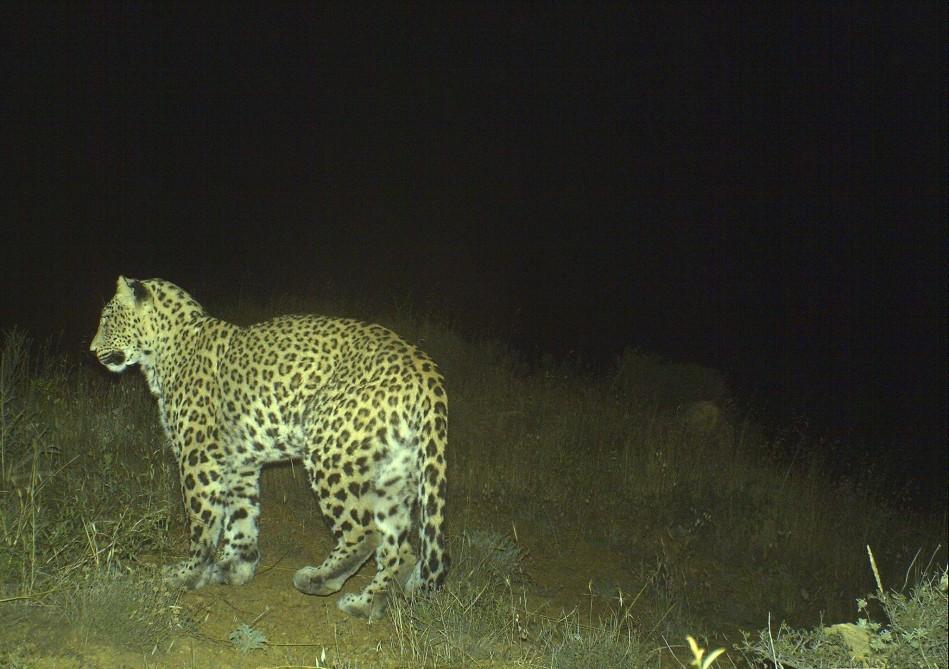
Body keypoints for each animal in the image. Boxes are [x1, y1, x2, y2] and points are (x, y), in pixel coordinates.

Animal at [90, 276, 449, 620]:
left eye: (107, 319)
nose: (92, 350)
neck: (162, 351)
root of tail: (425, 368)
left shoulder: (199, 457)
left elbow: (203, 521)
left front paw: (189, 574)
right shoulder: (240, 463)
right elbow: (241, 516)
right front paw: (235, 566)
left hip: (330, 452)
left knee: (366, 532)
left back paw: (320, 579)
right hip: (392, 475)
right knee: (402, 549)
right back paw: (369, 603)